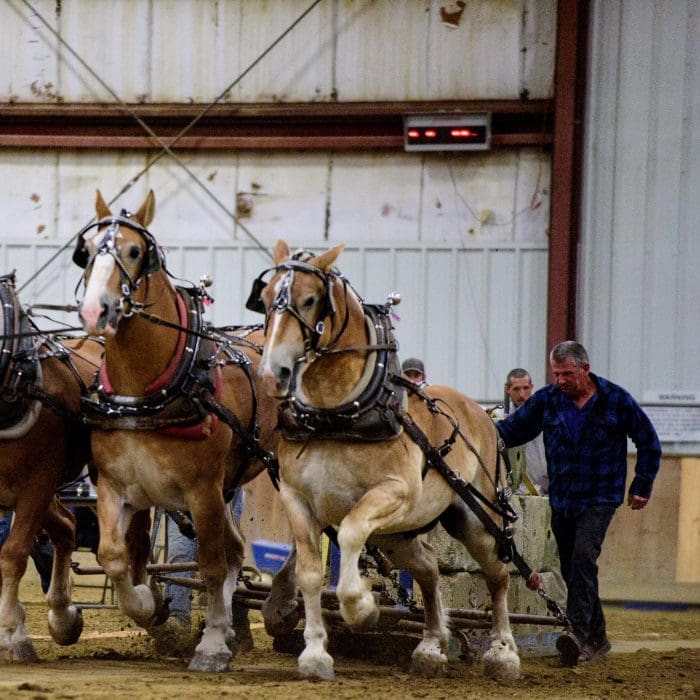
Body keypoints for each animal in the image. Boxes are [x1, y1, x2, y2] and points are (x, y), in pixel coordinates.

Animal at [73, 190, 294, 672]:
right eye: (89, 249)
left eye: (134, 252)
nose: (95, 309)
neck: (146, 391)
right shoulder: (116, 486)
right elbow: (114, 557)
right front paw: (149, 605)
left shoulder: (202, 489)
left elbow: (209, 566)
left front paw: (209, 646)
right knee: (237, 550)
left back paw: (280, 607)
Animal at [252, 240, 521, 681]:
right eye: (266, 296)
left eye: (309, 300)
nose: (273, 373)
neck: (337, 415)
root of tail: (482, 414)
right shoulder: (296, 498)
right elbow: (309, 574)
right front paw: (314, 654)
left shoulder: (394, 491)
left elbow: (348, 534)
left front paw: (361, 608)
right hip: (398, 534)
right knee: (428, 567)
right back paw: (430, 646)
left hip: (473, 518)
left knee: (497, 574)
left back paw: (503, 653)